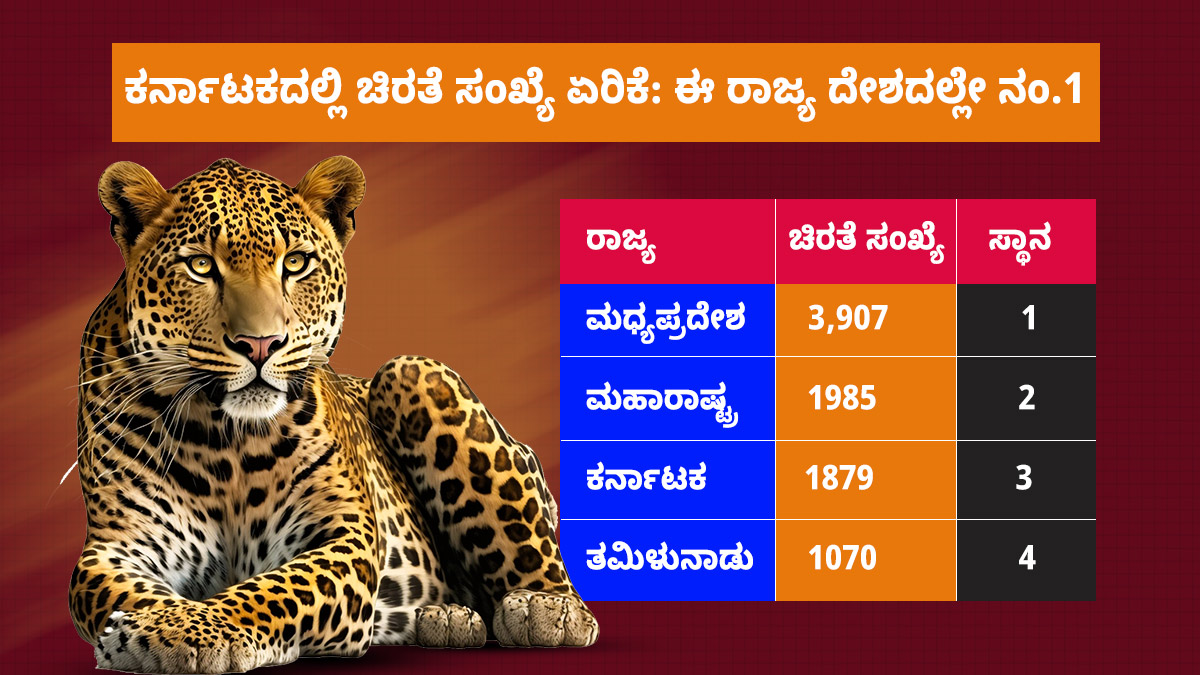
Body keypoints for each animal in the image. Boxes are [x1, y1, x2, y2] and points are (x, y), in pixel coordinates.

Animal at [69, 156, 597, 673]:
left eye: (295, 263)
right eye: (200, 265)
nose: (259, 344)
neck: (225, 438)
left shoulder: (345, 536)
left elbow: (272, 592)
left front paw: (185, 631)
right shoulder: (120, 545)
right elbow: (118, 590)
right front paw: (158, 626)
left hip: (415, 373)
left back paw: (545, 609)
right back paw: (446, 618)